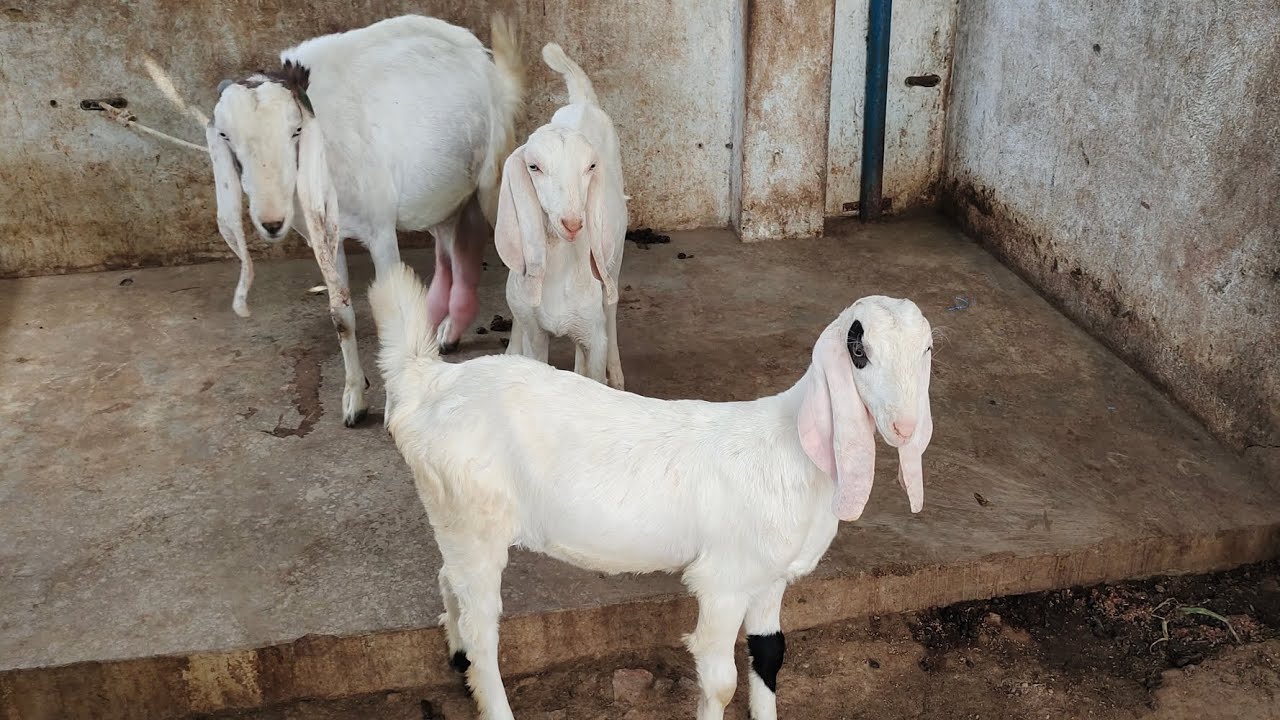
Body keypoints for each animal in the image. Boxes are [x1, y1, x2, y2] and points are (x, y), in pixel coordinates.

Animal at [205, 14, 524, 427]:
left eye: (296, 130)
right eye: (225, 136)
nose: (271, 222)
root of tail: (480, 52)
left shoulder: (380, 230)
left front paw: (393, 402)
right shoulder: (325, 235)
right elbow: (340, 315)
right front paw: (354, 400)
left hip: (493, 181)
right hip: (441, 192)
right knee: (451, 246)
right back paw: (447, 332)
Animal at [368, 263, 935, 720]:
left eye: (928, 350)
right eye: (858, 351)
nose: (905, 427)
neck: (792, 447)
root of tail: (427, 383)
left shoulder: (770, 577)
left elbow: (770, 656)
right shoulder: (724, 580)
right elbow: (722, 682)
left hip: (456, 517)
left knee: (451, 583)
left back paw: (456, 654)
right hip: (473, 515)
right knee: (485, 631)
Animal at [496, 43, 626, 389]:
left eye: (590, 167)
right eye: (534, 166)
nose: (572, 223)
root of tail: (583, 103)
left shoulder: (593, 334)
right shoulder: (536, 332)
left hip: (614, 253)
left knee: (611, 303)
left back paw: (617, 373)